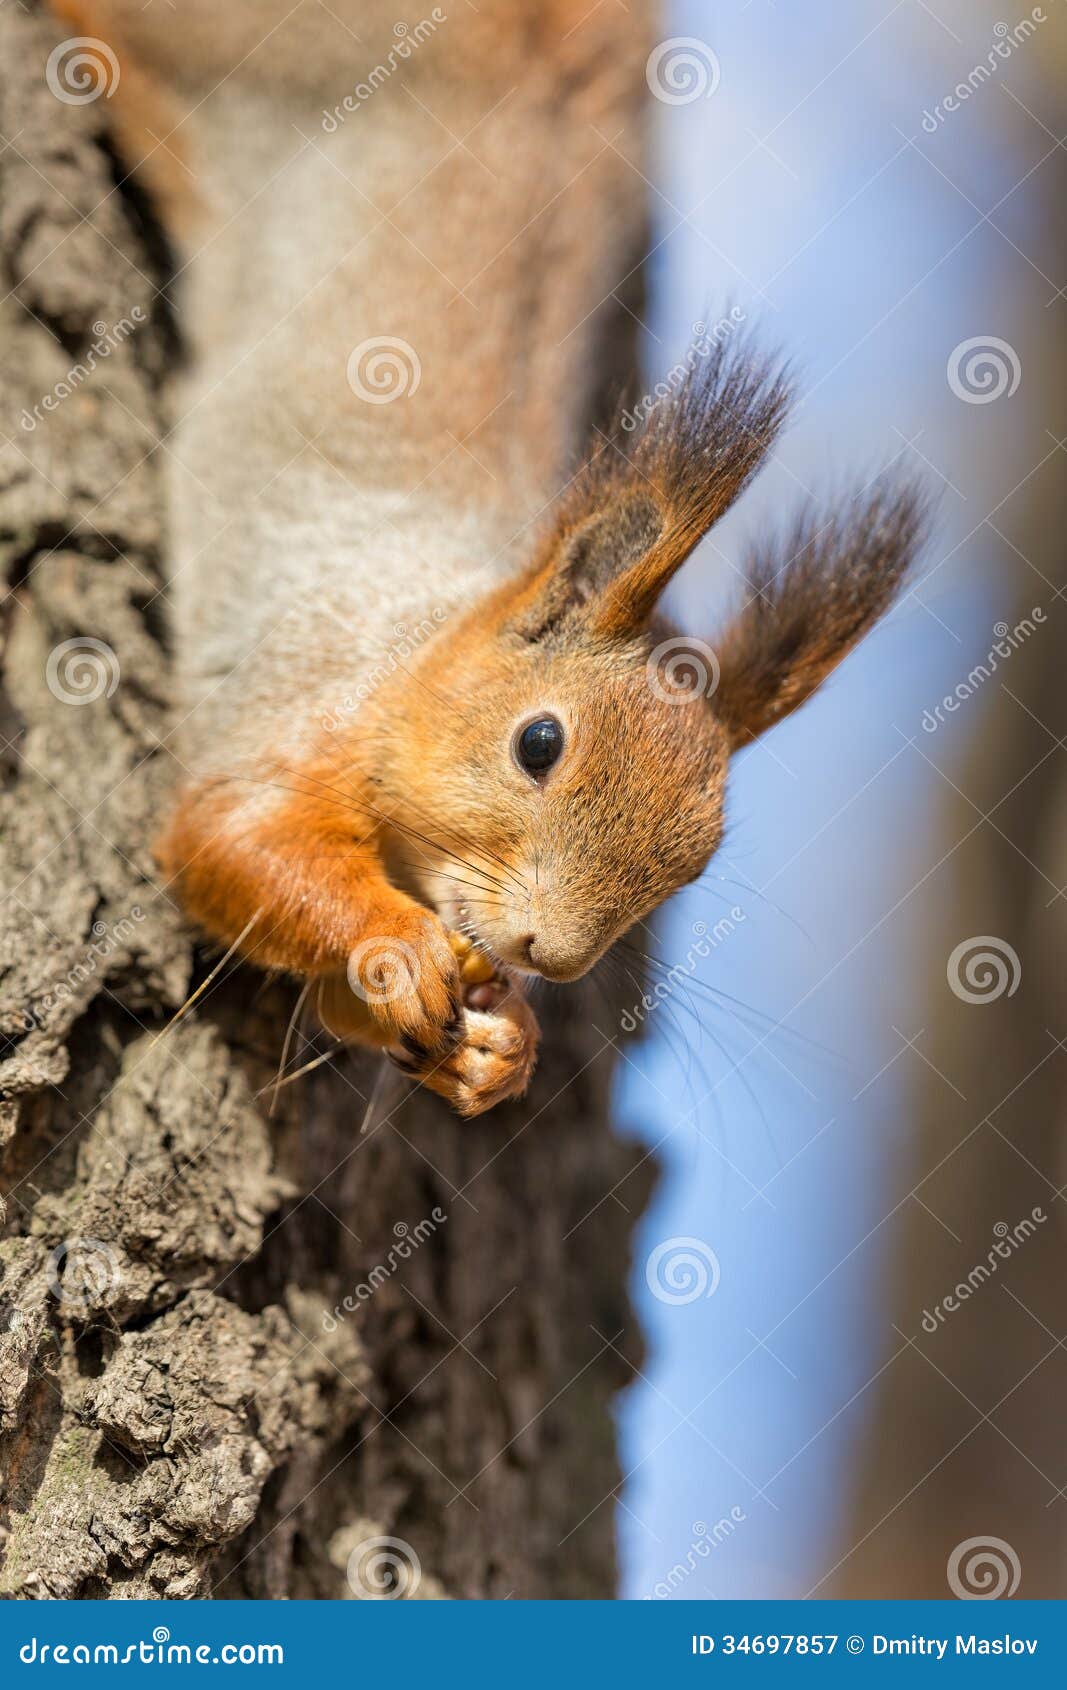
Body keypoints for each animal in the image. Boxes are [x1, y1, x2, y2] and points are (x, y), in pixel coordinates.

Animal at [48, 0, 924, 1115]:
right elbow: (232, 838)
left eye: (696, 862)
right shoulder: (302, 688)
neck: (416, 647)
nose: (549, 956)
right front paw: (397, 944)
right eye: (537, 744)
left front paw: (498, 1048)